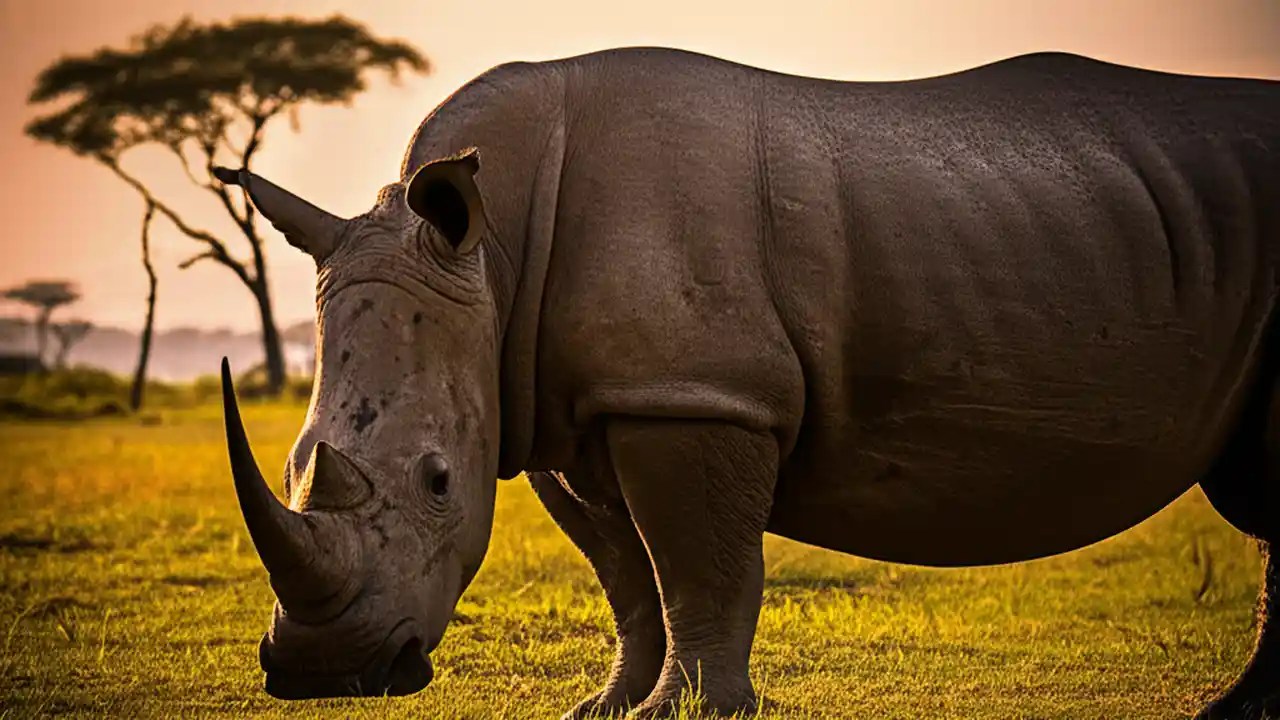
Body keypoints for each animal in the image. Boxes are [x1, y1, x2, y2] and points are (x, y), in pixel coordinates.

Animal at [214, 48, 1280, 718]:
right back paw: (1233, 711)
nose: (321, 674)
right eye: (299, 462)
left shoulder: (692, 389)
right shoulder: (571, 407)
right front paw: (605, 707)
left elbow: (696, 561)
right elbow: (627, 574)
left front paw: (684, 713)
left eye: (438, 482)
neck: (494, 249)